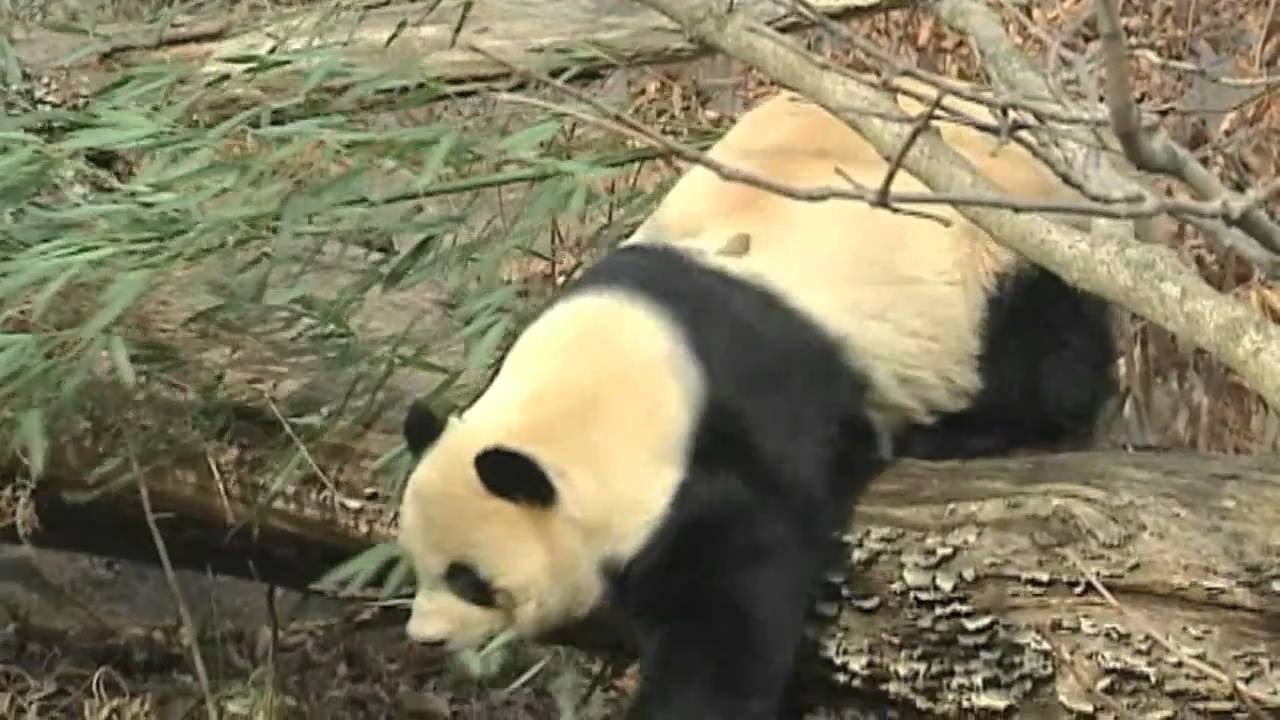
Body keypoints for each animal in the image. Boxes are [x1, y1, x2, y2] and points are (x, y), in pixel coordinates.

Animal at [396, 79, 1116, 720]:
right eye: (416, 563)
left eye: (470, 580)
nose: (424, 639)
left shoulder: (743, 429)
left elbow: (732, 611)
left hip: (1000, 255)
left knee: (1045, 357)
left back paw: (960, 431)